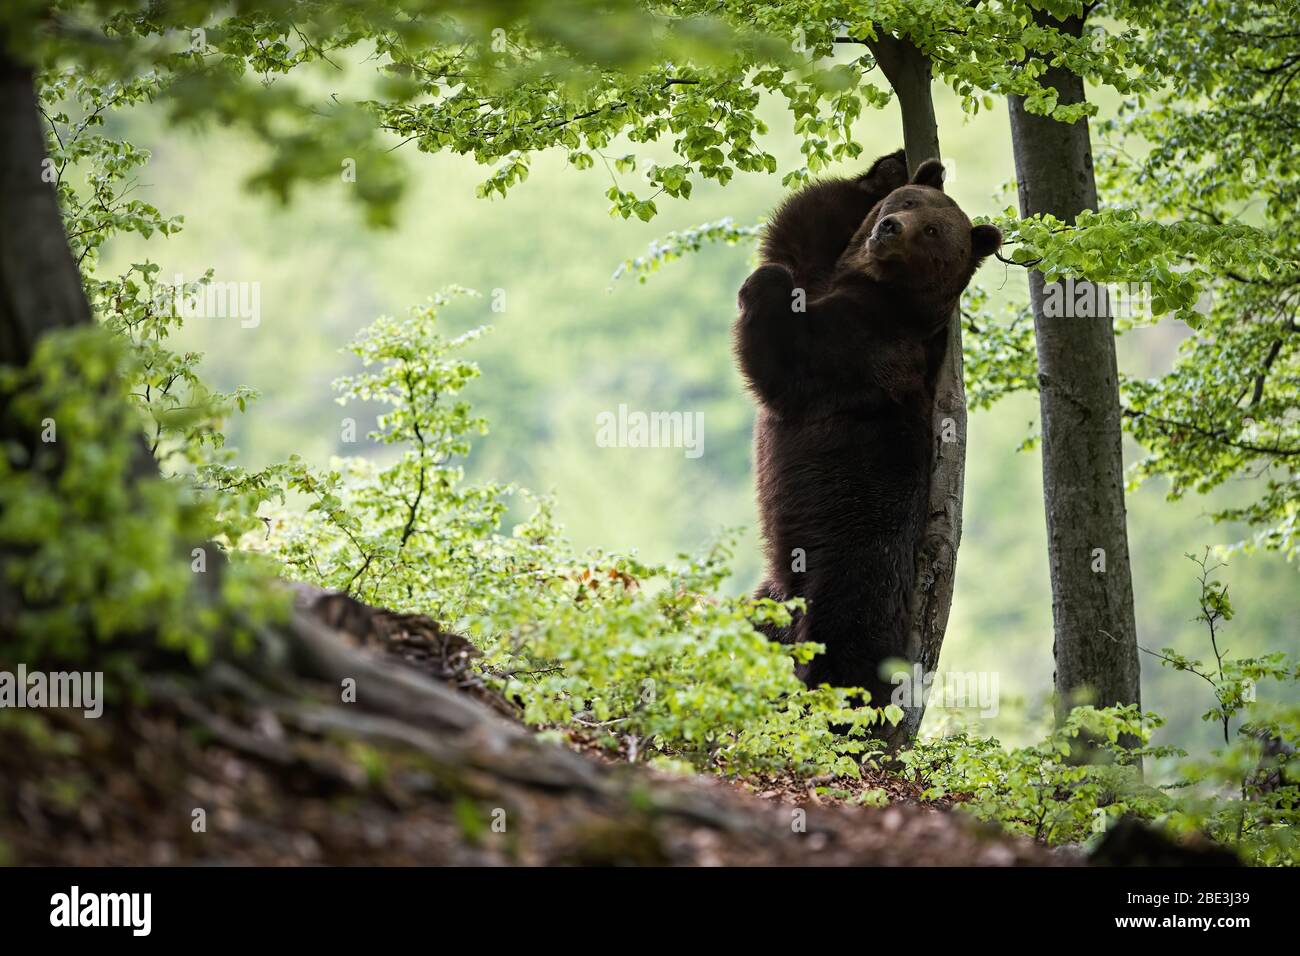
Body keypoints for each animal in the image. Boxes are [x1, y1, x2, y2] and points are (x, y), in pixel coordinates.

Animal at [734, 150, 1001, 712]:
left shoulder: (870, 347)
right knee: (756, 628)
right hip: (776, 593)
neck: (876, 283)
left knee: (850, 644)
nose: (889, 227)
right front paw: (890, 166)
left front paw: (766, 283)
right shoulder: (829, 267)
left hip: (855, 559)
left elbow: (792, 364)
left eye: (933, 232)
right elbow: (802, 222)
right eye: (910, 203)